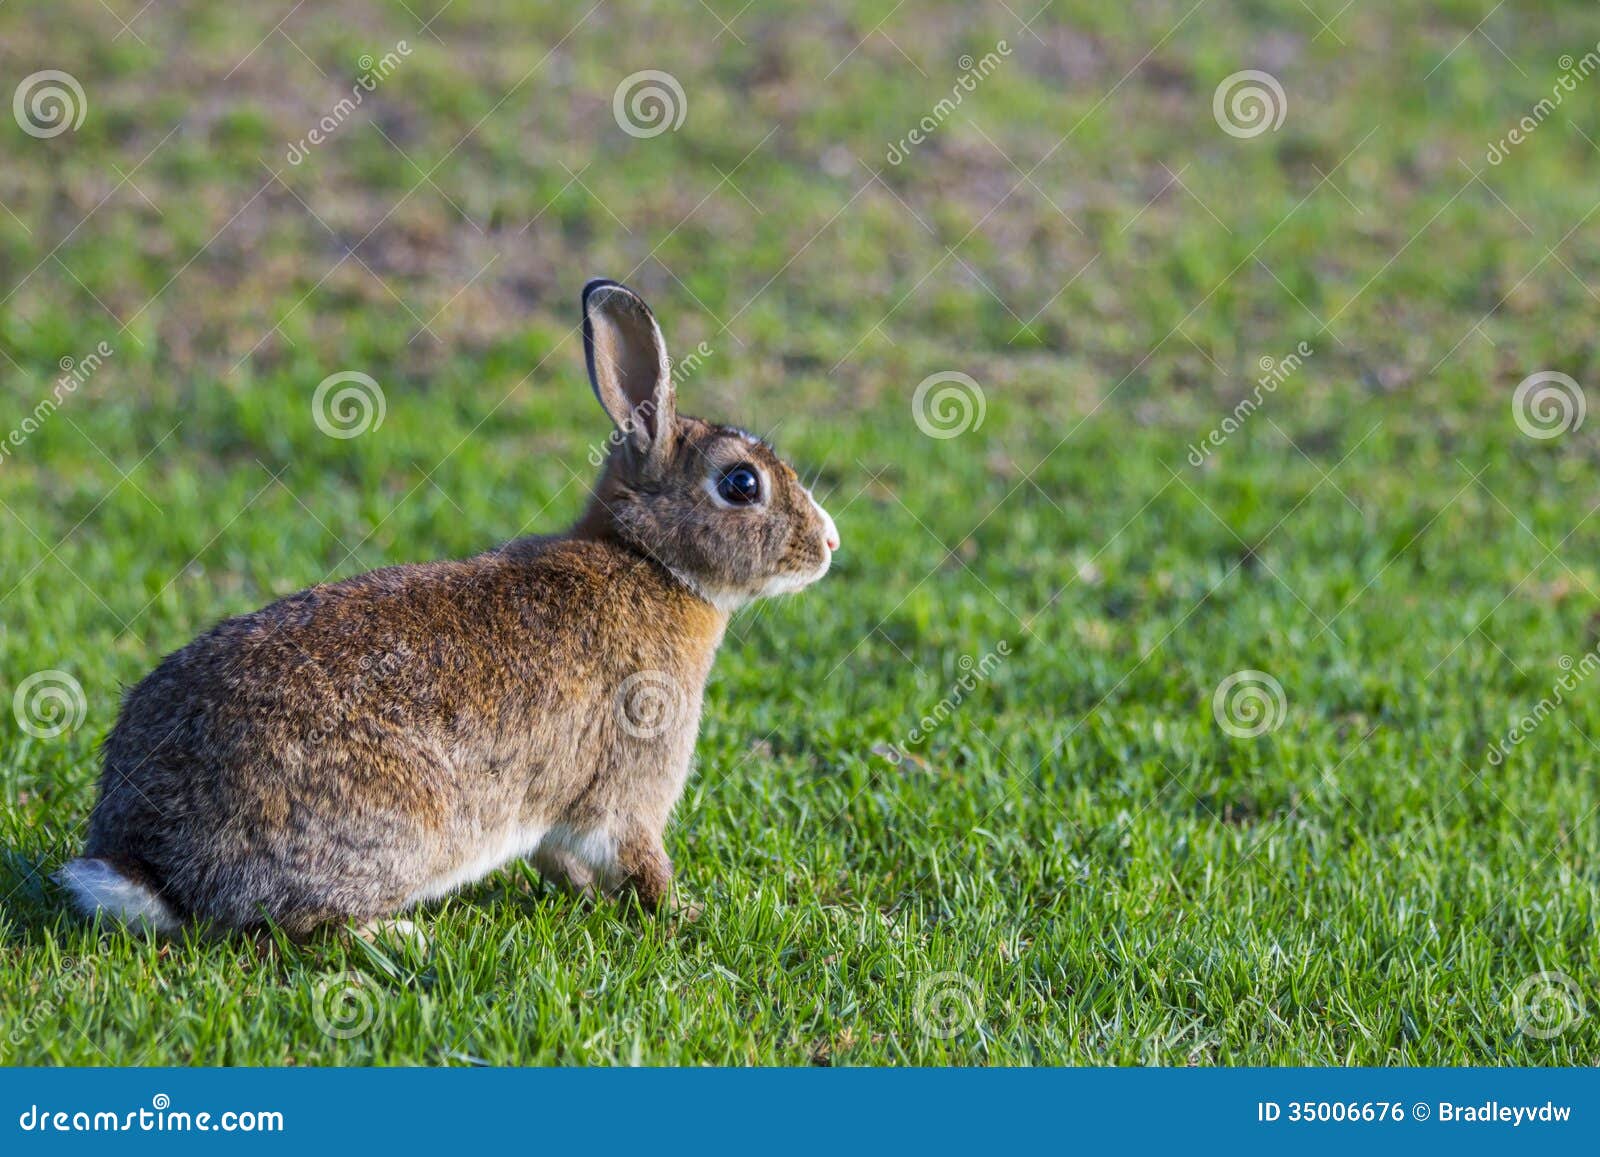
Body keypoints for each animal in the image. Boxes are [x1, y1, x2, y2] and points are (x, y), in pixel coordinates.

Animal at [58, 278, 839, 938]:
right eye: (742, 483)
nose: (829, 543)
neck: (651, 562)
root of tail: (151, 866)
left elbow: (563, 858)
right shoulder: (632, 782)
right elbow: (641, 860)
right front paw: (687, 911)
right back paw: (397, 934)